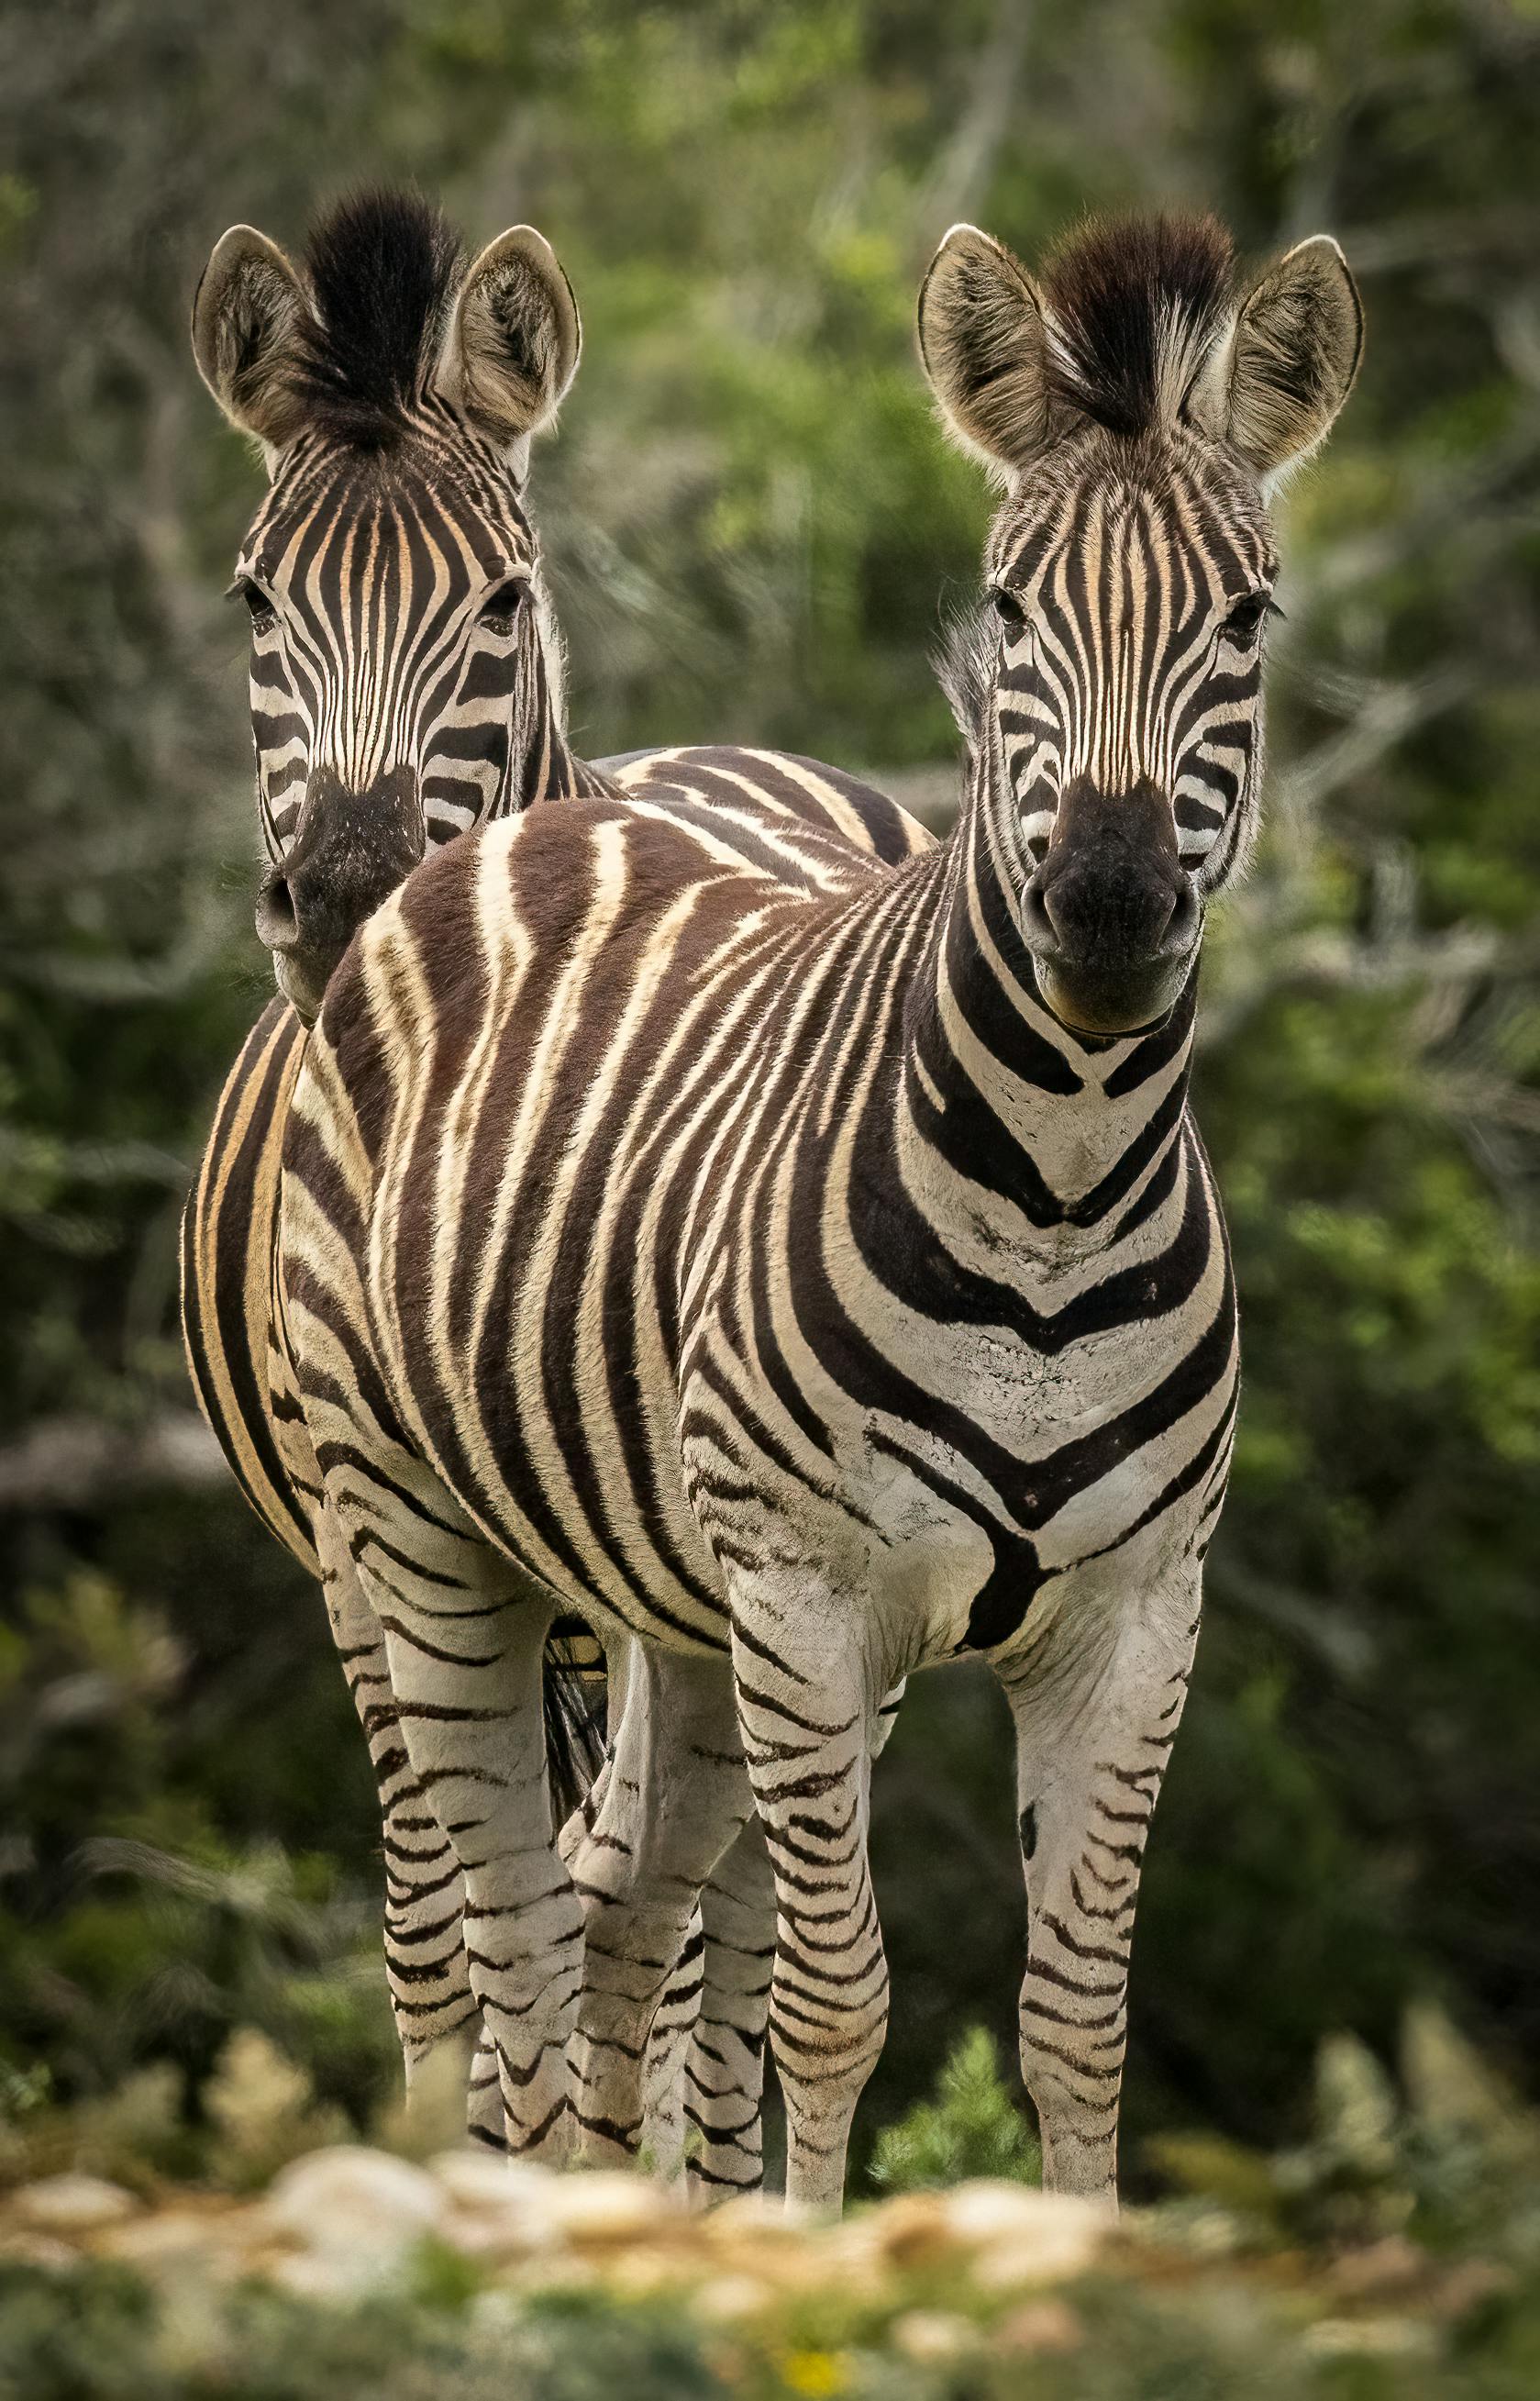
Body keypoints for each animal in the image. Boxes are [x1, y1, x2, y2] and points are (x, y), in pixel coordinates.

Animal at [179, 188, 928, 2182]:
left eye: (503, 600)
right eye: (254, 598)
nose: (348, 896)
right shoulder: (362, 1556)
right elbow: (439, 1930)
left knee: (718, 1946)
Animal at [274, 208, 1362, 2208]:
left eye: (1242, 620)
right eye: (1008, 607)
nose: (1103, 907)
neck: (1054, 1192)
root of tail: (539, 814)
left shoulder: (1132, 1619)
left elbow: (1072, 2027)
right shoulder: (809, 1596)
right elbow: (830, 1999)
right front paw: (799, 2242)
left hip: (676, 1612)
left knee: (612, 1914)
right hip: (413, 1533)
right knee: (504, 1934)